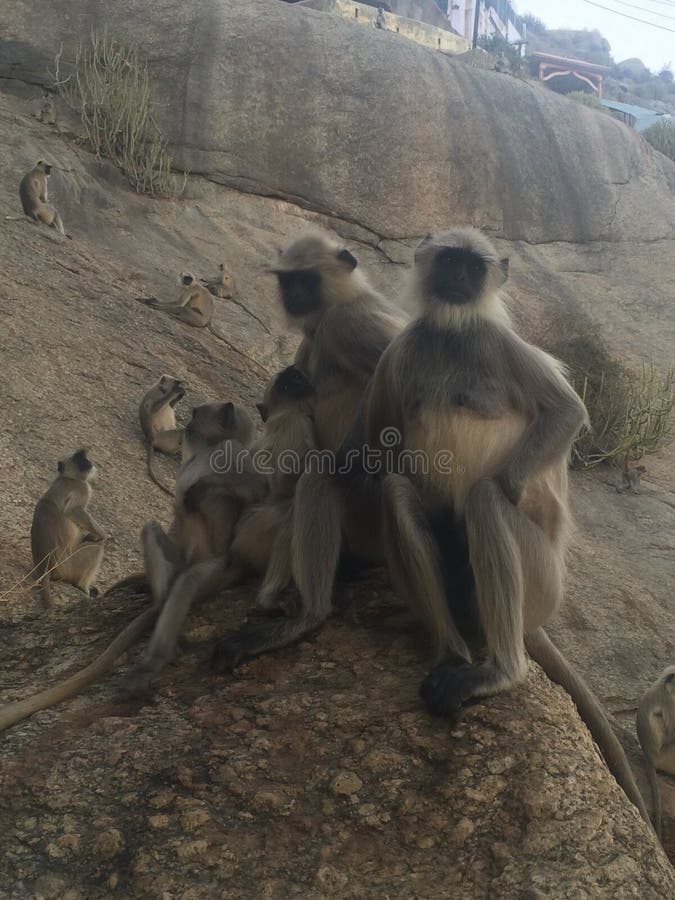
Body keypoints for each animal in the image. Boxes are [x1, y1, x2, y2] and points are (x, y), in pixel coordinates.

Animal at [30, 449, 105, 608]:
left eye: (84, 458)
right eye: (80, 459)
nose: (88, 462)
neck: (67, 478)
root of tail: (44, 566)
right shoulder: (82, 488)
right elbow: (73, 511)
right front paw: (102, 534)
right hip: (70, 564)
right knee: (97, 547)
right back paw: (82, 586)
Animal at [211, 227, 652, 827]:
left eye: (473, 266)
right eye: (449, 262)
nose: (459, 279)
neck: (450, 331)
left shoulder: (490, 342)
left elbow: (565, 412)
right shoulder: (404, 351)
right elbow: (354, 456)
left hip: (542, 582)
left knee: (485, 500)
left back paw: (496, 669)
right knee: (395, 490)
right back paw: (428, 647)